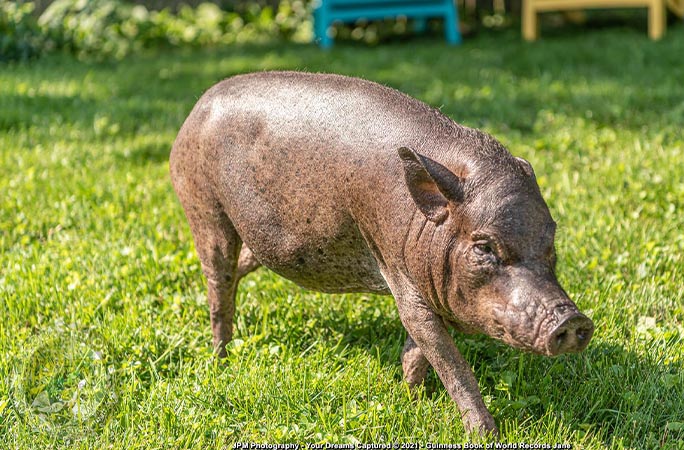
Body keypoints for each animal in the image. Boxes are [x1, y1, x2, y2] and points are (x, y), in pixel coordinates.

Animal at [169, 71, 594, 435]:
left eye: (550, 239)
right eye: (485, 246)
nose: (572, 319)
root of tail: (197, 107)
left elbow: (418, 349)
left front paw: (414, 400)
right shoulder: (395, 265)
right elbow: (445, 356)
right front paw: (485, 433)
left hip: (258, 242)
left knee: (239, 271)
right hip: (204, 209)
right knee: (218, 283)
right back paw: (221, 358)